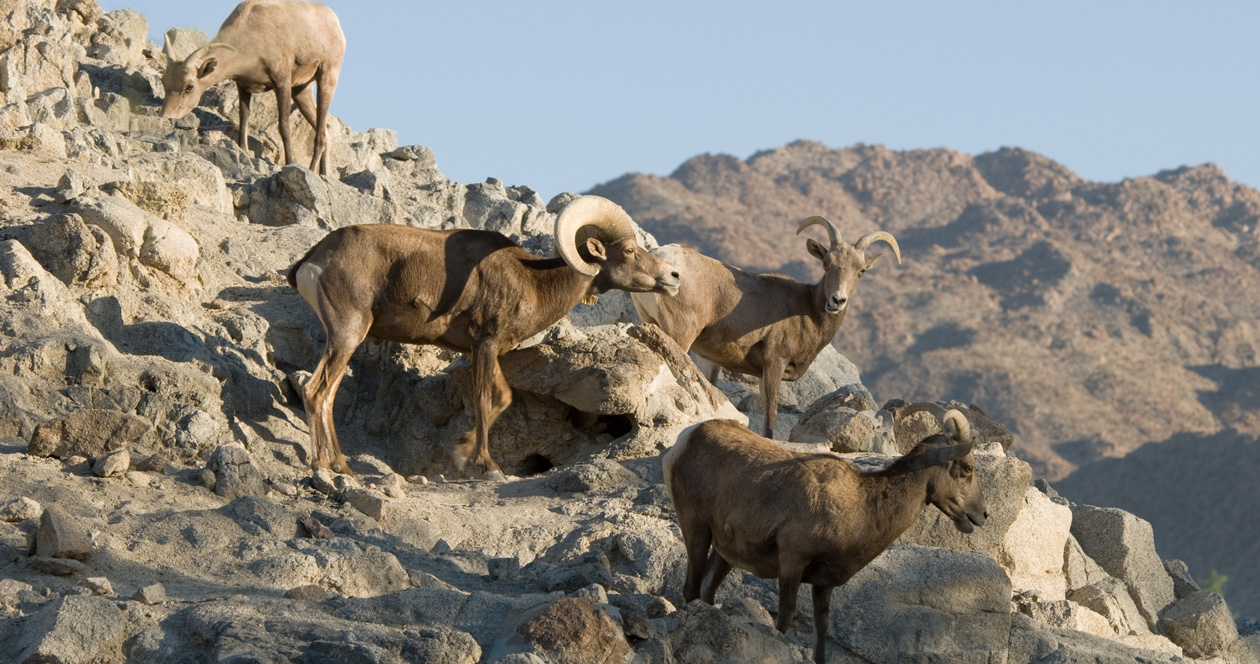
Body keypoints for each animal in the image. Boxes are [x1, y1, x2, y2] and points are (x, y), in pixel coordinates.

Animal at [160, 0, 345, 175]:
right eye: (164, 81)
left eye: (189, 86)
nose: (166, 116)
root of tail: (336, 24)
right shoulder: (243, 87)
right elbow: (243, 118)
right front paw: (243, 150)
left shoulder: (282, 82)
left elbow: (284, 127)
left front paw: (290, 163)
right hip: (301, 91)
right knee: (326, 130)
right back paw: (324, 174)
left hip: (327, 78)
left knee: (321, 133)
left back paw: (312, 170)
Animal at [287, 196, 681, 478]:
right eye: (628, 251)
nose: (674, 277)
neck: (532, 280)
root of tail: (313, 260)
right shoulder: (485, 344)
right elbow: (482, 400)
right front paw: (487, 467)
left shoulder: (484, 351)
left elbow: (503, 398)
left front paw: (463, 452)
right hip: (347, 333)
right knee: (316, 391)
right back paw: (324, 466)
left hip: (346, 340)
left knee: (327, 394)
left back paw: (340, 466)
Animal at [632, 215, 900, 438]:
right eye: (826, 263)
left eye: (861, 271)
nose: (837, 300)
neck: (807, 310)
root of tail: (662, 258)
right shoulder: (774, 362)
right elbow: (770, 416)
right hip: (680, 335)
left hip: (651, 323)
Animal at [663, 404, 987, 664]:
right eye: (967, 468)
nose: (981, 515)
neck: (862, 506)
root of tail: (687, 437)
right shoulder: (792, 563)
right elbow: (784, 619)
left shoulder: (823, 584)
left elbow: (821, 635)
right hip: (696, 529)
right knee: (690, 590)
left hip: (725, 552)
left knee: (706, 592)